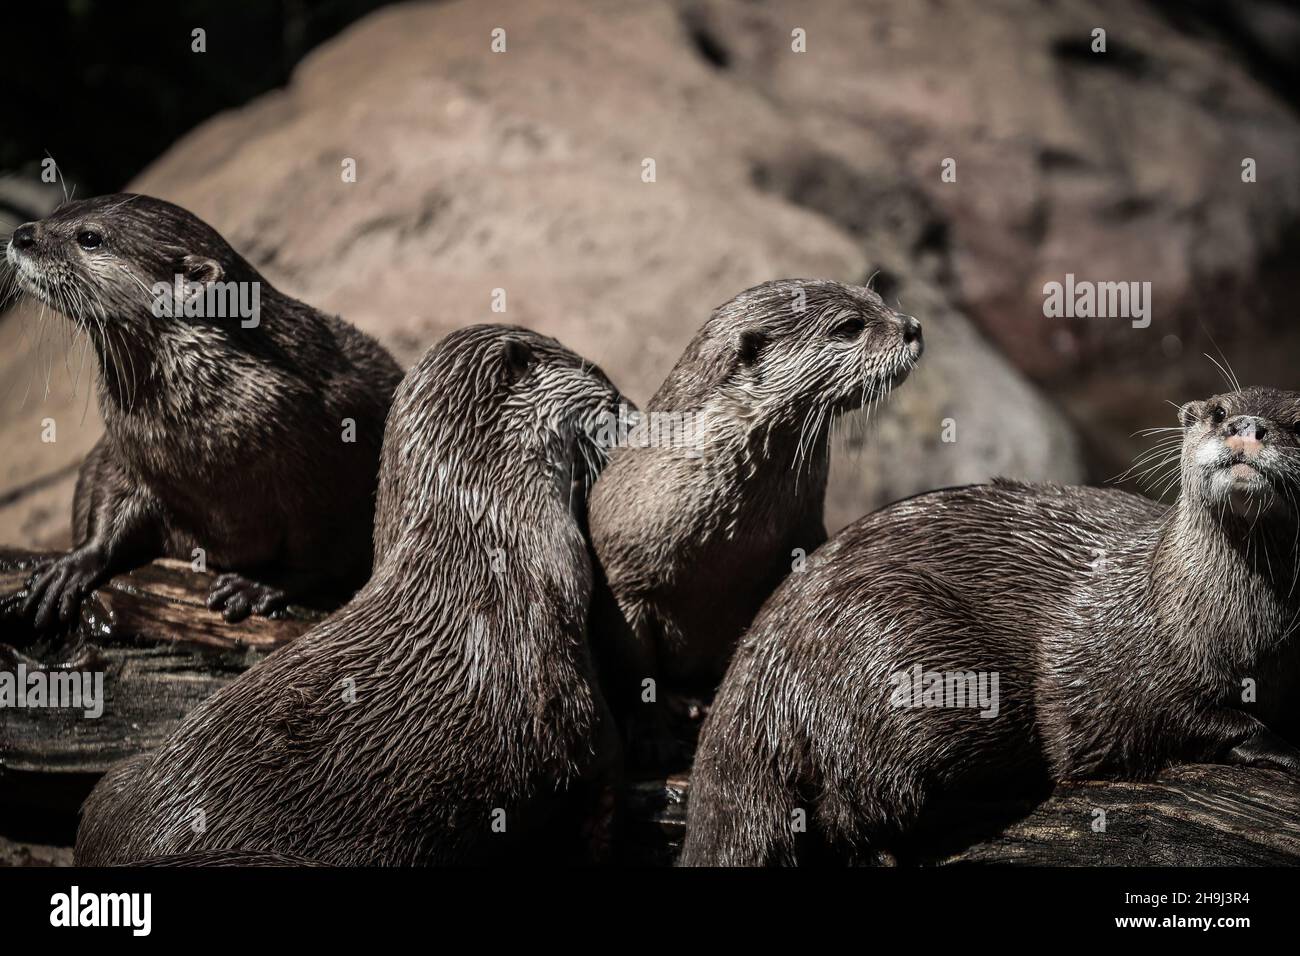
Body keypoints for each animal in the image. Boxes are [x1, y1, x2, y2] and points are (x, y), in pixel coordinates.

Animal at [4, 194, 401, 626]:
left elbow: (324, 552)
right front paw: (74, 563)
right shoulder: (125, 450)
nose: (22, 234)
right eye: (62, 209)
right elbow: (108, 498)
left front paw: (262, 583)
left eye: (89, 237)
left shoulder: (340, 466)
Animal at [587, 279, 922, 754]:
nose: (912, 327)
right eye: (851, 326)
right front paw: (654, 732)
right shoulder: (623, 582)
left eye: (877, 299)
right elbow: (635, 673)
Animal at [681, 387, 1300, 865]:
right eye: (1219, 410)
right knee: (852, 809)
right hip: (895, 641)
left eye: (1297, 419)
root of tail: (757, 670)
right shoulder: (1121, 666)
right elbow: (1165, 717)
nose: (1247, 426)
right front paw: (1277, 745)